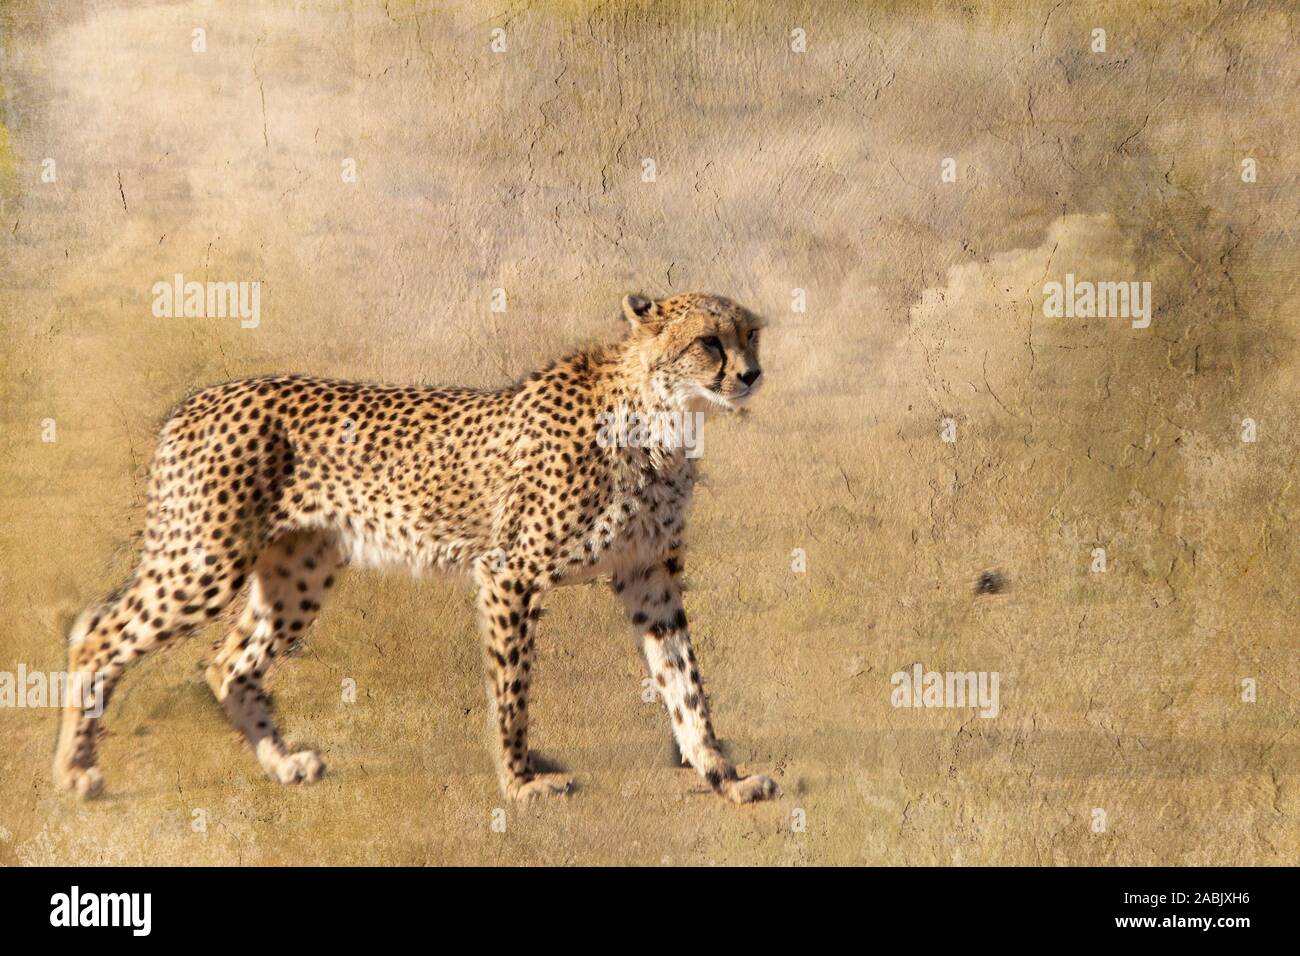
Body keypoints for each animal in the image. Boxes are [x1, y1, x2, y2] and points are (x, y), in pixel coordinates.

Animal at [53, 292, 778, 805]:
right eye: (709, 341)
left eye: (752, 335)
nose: (751, 374)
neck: (664, 414)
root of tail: (197, 400)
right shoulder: (509, 571)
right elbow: (512, 689)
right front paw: (520, 781)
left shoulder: (648, 574)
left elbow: (686, 686)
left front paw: (724, 775)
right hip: (205, 560)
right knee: (96, 634)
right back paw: (74, 772)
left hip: (297, 569)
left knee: (229, 665)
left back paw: (282, 765)